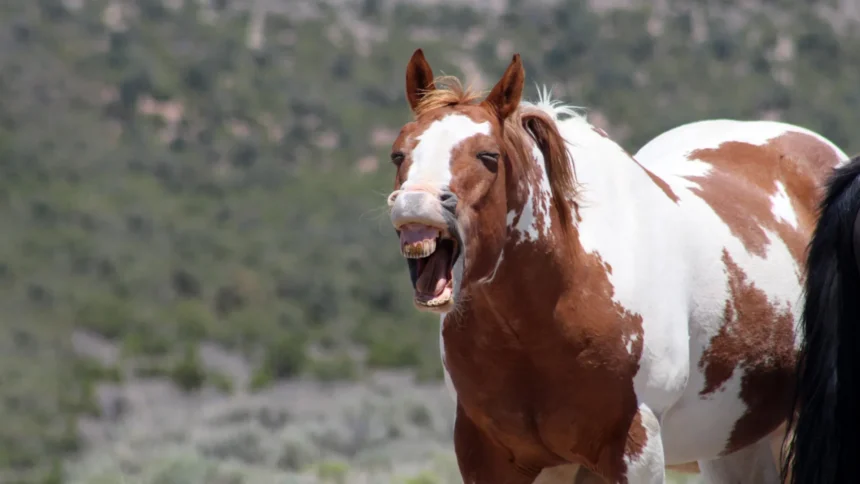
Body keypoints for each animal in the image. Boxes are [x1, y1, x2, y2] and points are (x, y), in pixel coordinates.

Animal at [383, 48, 849, 483]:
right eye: (398, 154)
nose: (415, 204)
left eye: (488, 156)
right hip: (734, 446)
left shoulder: (634, 448)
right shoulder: (493, 455)